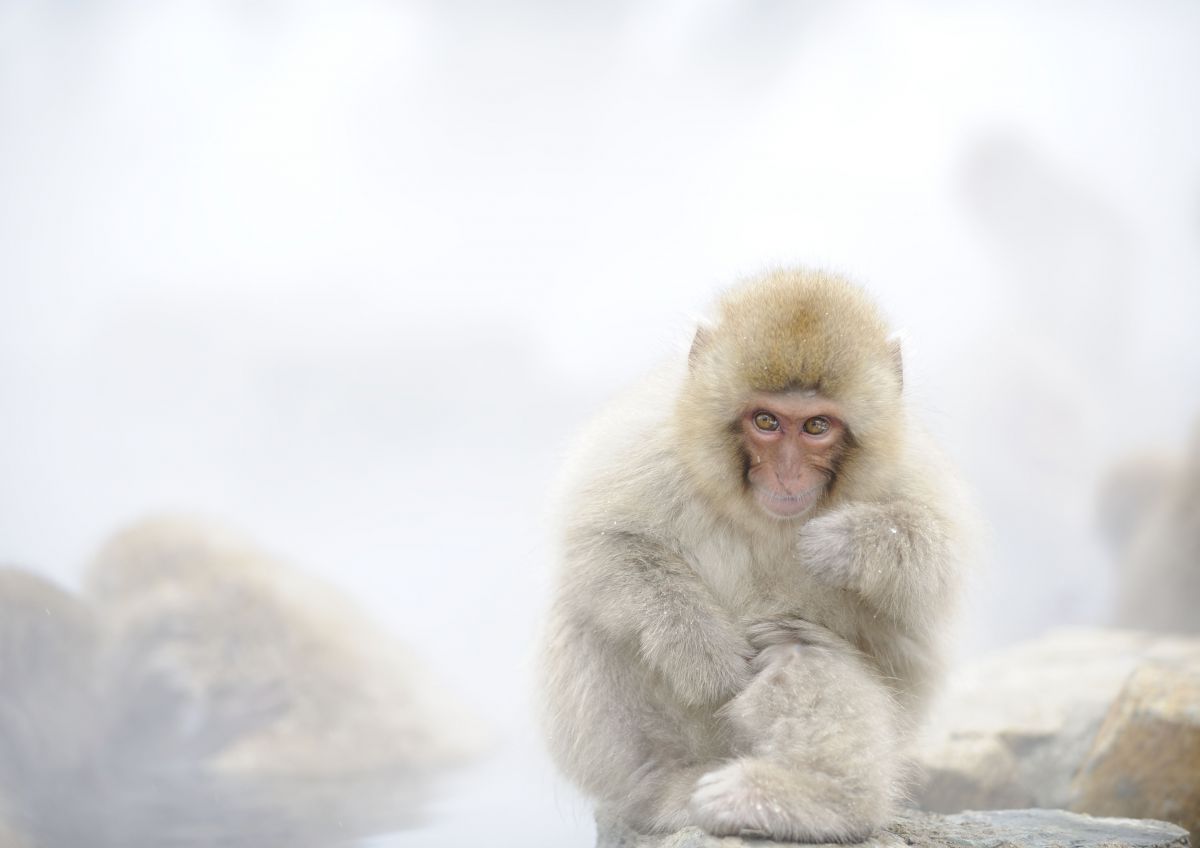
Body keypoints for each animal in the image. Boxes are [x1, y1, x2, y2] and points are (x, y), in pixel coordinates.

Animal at [540, 268, 973, 842]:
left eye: (816, 426)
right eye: (766, 421)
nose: (787, 474)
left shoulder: (906, 466)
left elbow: (937, 565)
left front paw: (843, 542)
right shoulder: (650, 444)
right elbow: (602, 542)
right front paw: (702, 651)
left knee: (797, 653)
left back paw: (818, 798)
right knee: (594, 620)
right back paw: (668, 786)